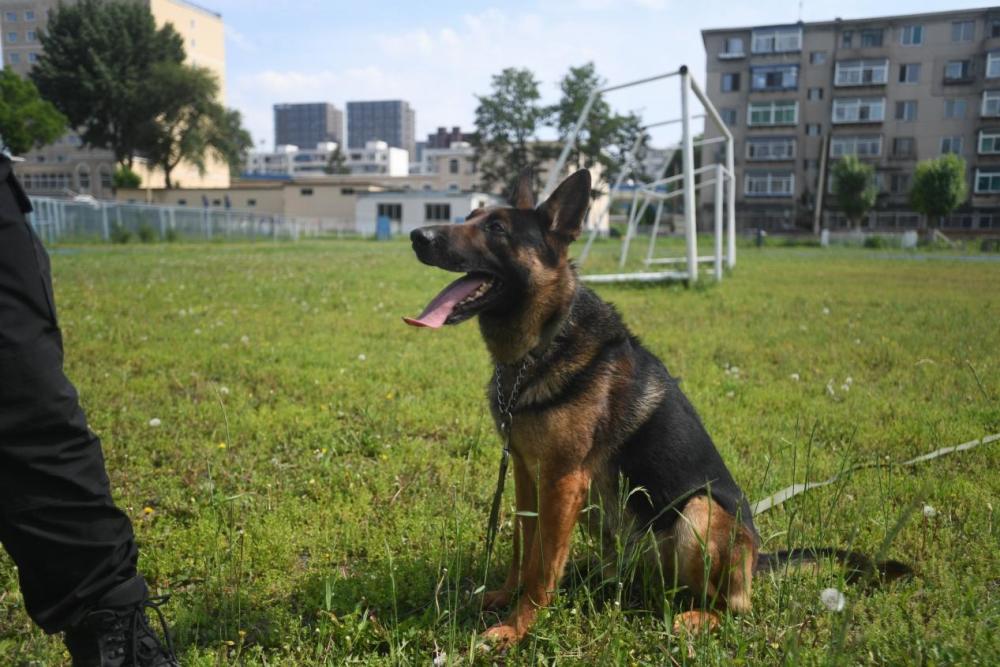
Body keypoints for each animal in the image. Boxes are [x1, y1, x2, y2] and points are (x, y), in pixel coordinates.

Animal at [404, 170, 908, 644]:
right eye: (471, 217)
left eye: (496, 228)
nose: (416, 236)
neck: (543, 344)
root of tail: (757, 558)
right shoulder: (529, 477)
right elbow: (521, 550)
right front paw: (504, 599)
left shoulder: (562, 480)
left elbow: (542, 566)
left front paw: (518, 627)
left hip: (698, 513)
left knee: (735, 609)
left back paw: (696, 617)